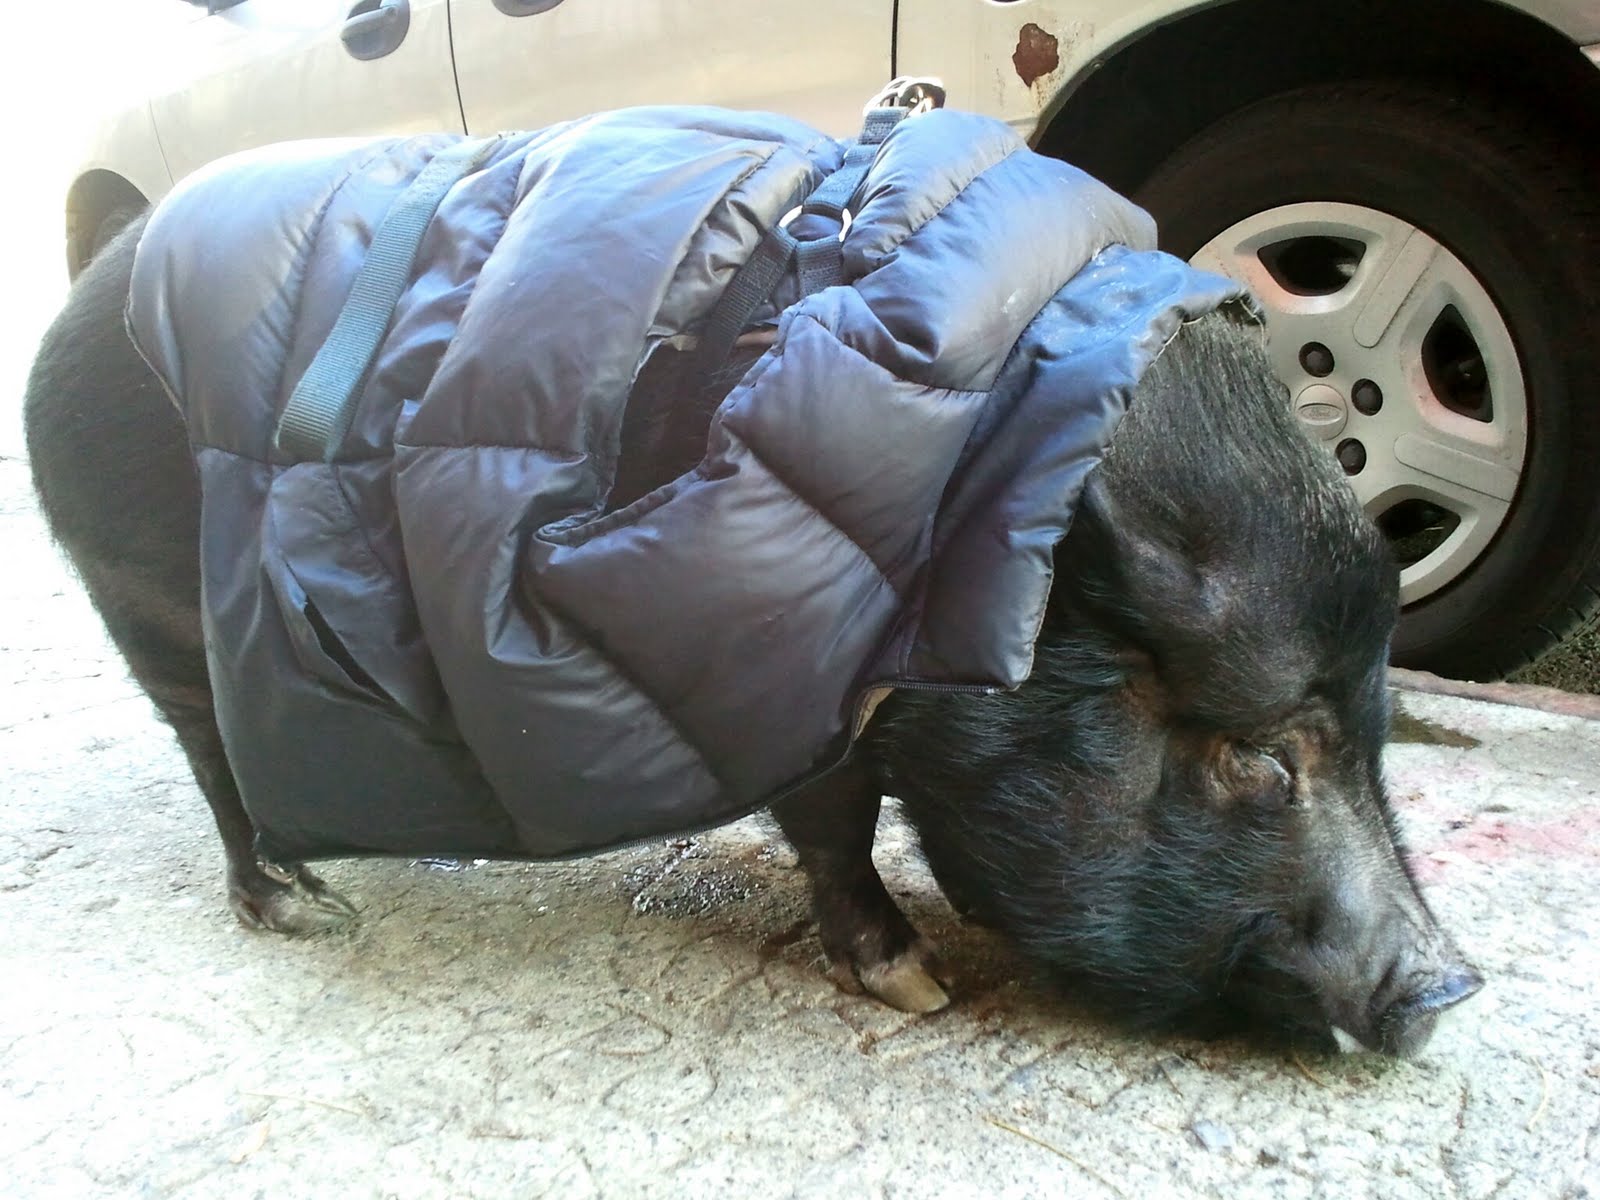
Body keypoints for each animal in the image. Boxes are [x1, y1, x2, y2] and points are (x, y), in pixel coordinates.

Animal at [24, 214, 1480, 1057]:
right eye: (1261, 756)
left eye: (1377, 737)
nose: (1450, 987)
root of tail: (71, 312)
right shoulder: (779, 685)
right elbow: (835, 828)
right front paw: (917, 991)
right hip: (144, 611)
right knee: (210, 756)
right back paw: (303, 909)